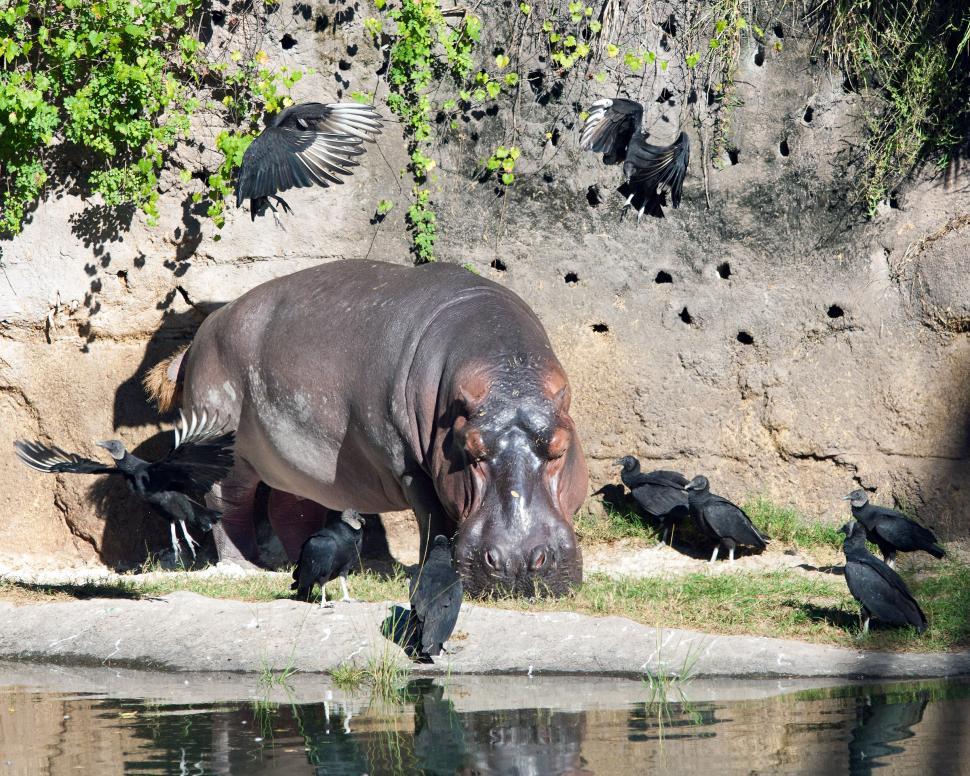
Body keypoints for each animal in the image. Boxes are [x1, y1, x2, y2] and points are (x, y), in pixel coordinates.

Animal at [144, 260, 588, 595]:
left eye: (560, 448)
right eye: (472, 450)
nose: (516, 562)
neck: (506, 374)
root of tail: (203, 331)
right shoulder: (411, 466)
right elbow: (434, 518)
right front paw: (427, 569)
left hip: (297, 460)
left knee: (289, 507)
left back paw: (297, 559)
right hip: (228, 446)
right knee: (229, 501)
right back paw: (245, 568)